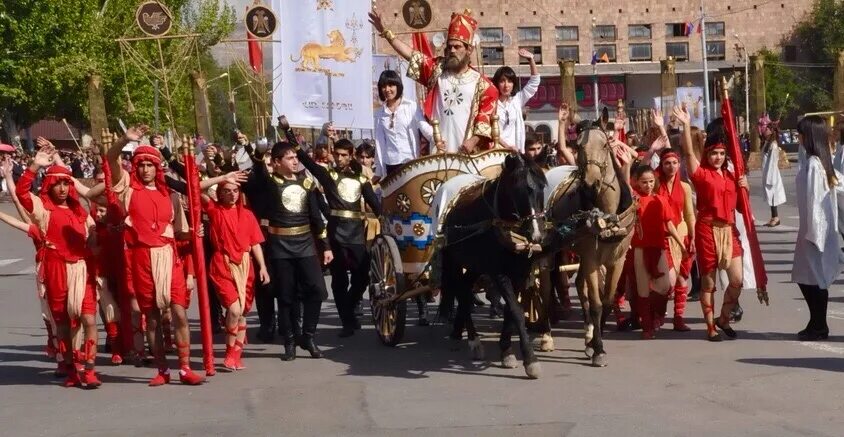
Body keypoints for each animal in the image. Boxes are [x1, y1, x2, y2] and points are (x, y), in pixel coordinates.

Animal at [438, 153, 552, 378]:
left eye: (542, 186)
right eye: (518, 188)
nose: (537, 234)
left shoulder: (520, 273)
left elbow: (511, 310)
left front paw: (506, 350)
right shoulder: (499, 273)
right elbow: (516, 311)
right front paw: (530, 359)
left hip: (474, 264)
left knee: (465, 290)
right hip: (454, 261)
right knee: (459, 291)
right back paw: (473, 340)